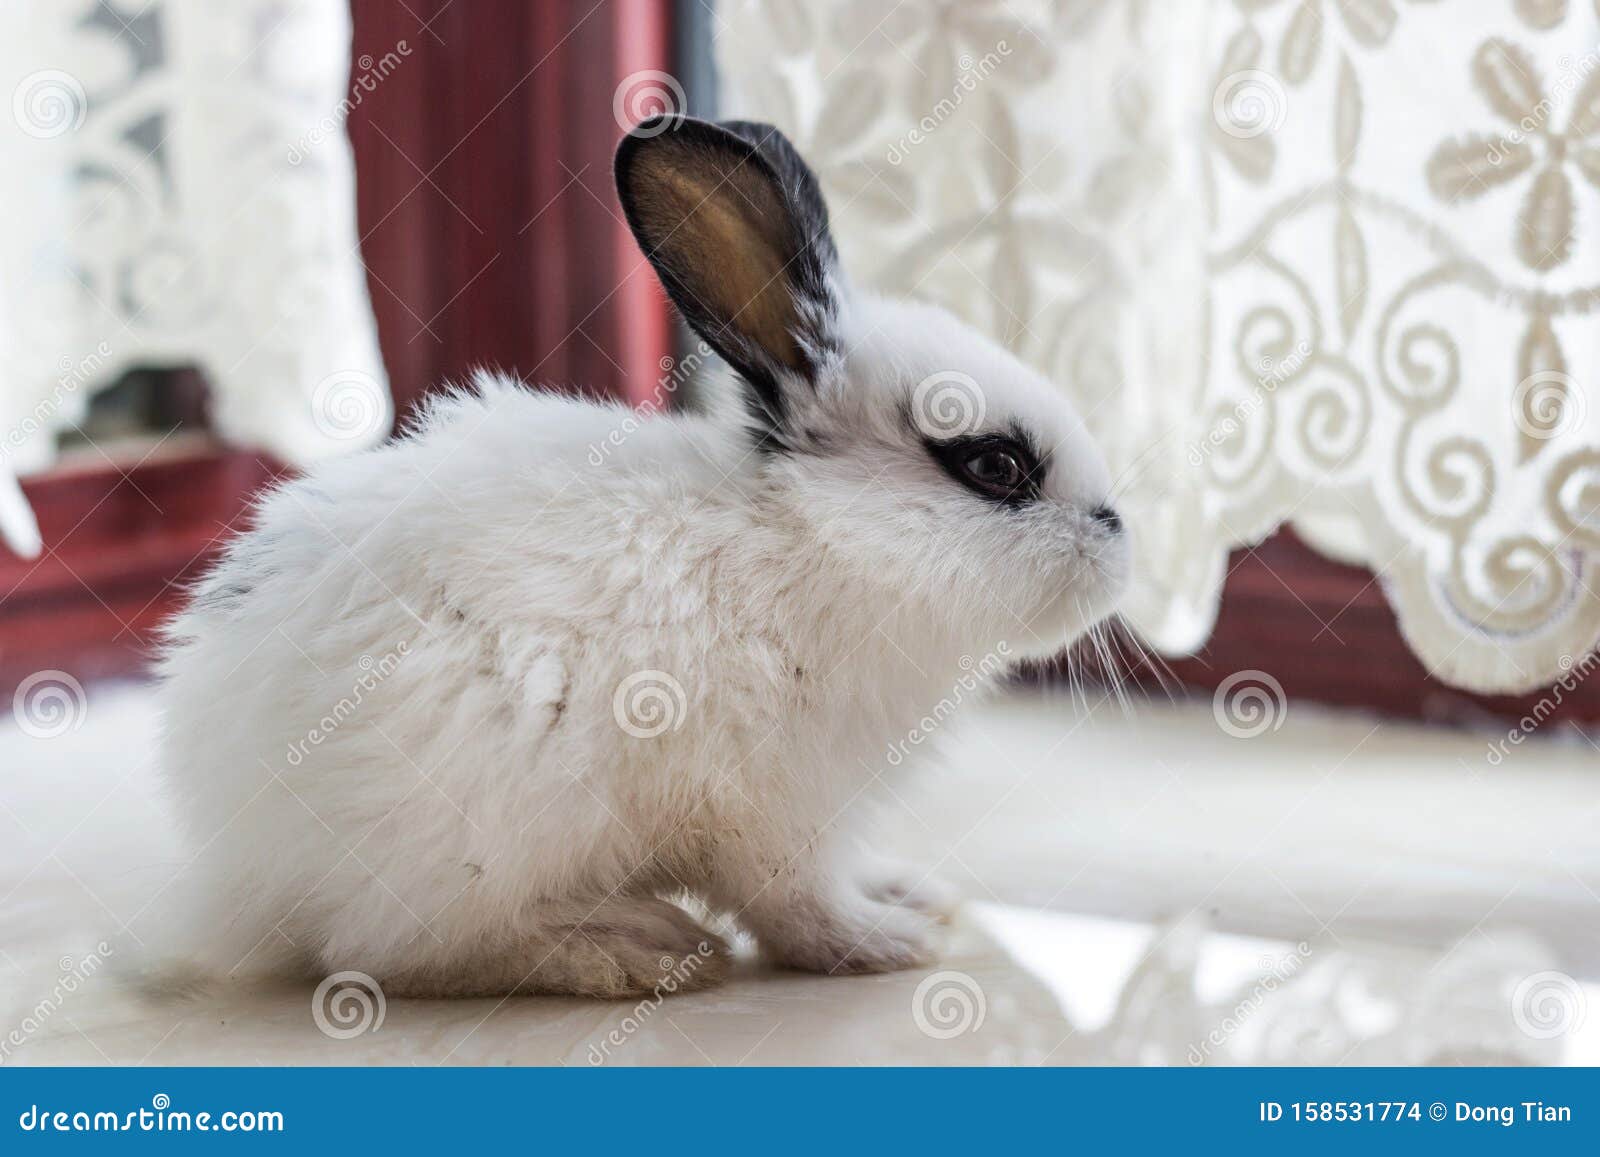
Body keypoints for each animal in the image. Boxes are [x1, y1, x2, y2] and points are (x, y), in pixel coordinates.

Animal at [151, 115, 1131, 1000]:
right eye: (994, 465)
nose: (1121, 545)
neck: (821, 537)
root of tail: (233, 877)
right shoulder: (778, 810)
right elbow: (798, 904)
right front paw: (884, 942)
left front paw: (910, 896)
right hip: (480, 826)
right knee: (403, 951)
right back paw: (629, 947)